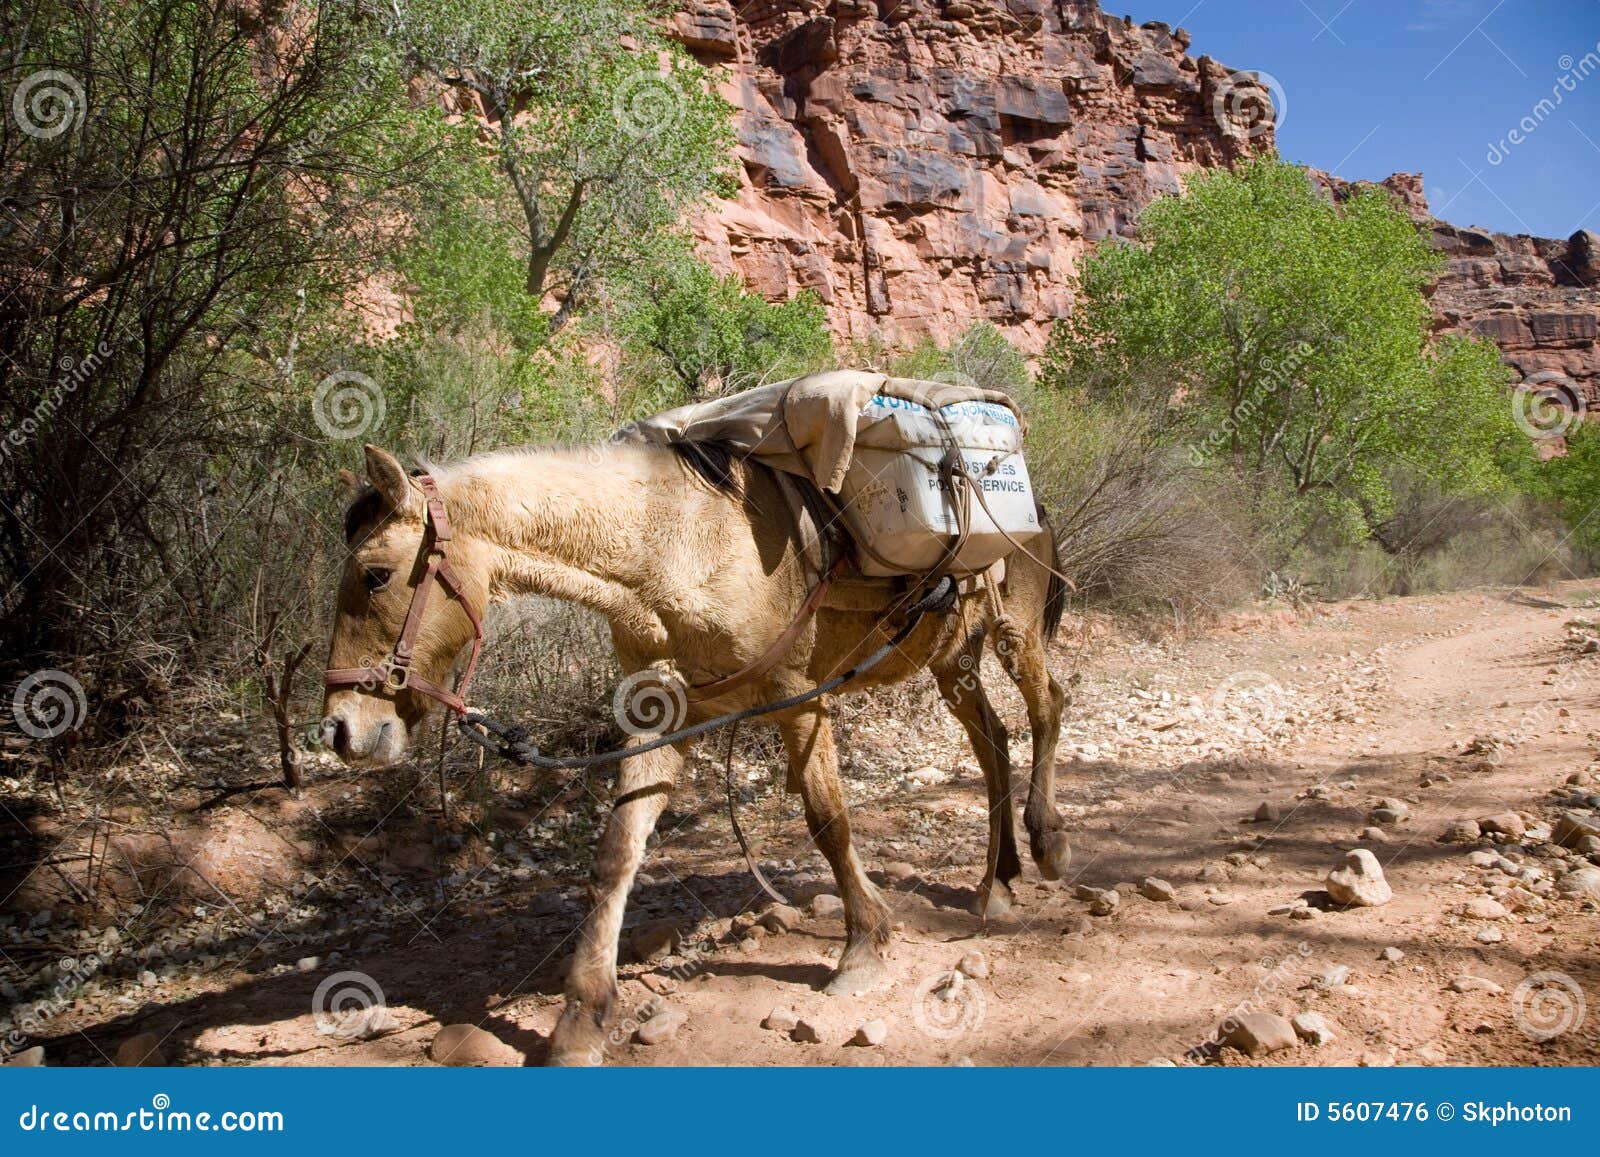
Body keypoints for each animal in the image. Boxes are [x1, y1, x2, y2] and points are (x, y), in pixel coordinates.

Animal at [320, 439, 1071, 1065]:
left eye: (376, 575)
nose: (339, 731)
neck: (680, 547)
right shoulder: (656, 715)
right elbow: (617, 852)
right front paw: (582, 1018)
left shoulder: (797, 696)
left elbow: (828, 820)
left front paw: (864, 946)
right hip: (953, 661)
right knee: (993, 743)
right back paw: (998, 882)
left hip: (1012, 633)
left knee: (1046, 709)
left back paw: (1047, 842)